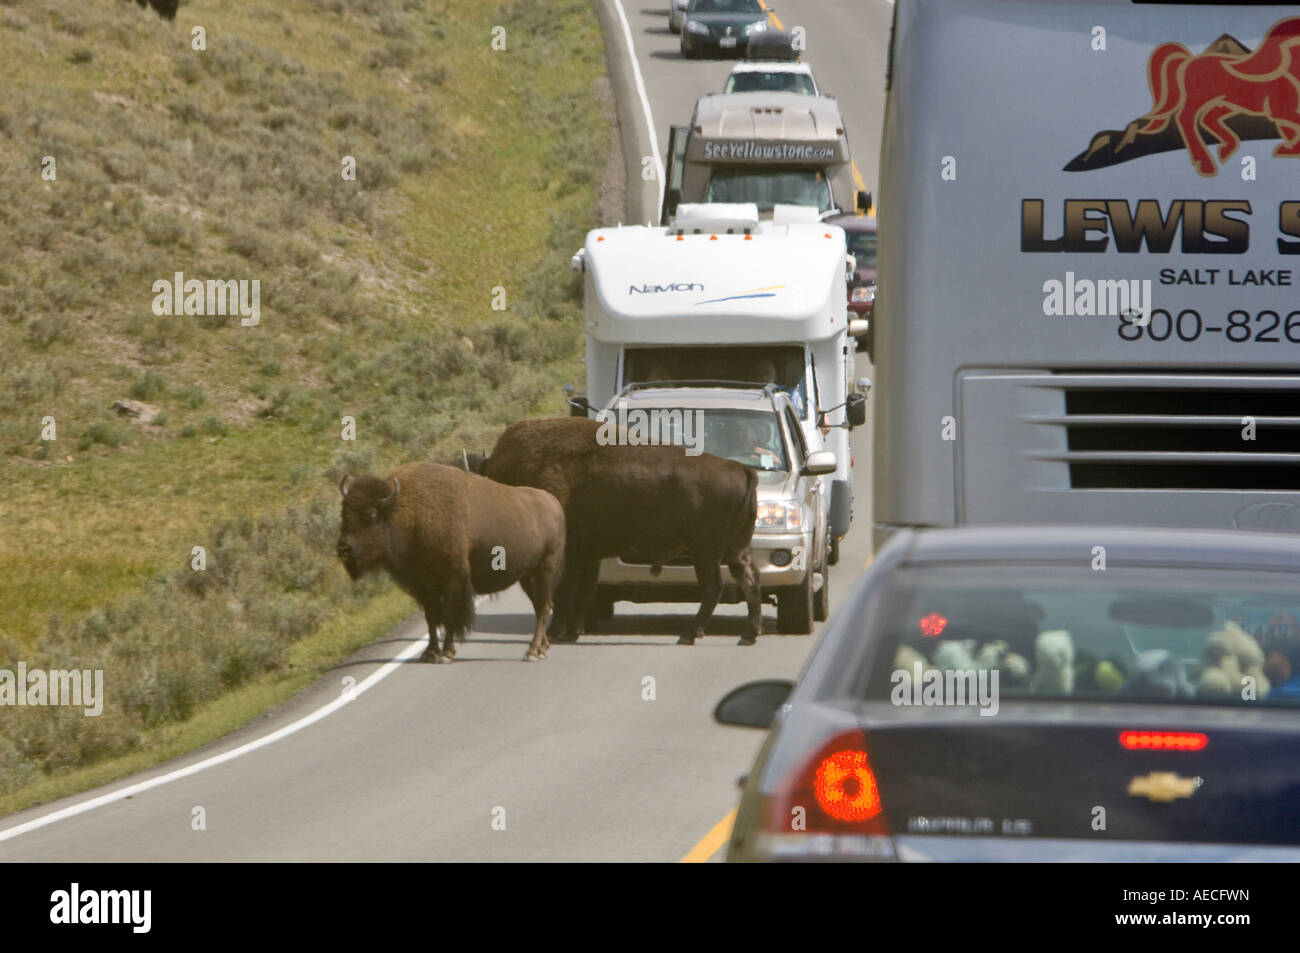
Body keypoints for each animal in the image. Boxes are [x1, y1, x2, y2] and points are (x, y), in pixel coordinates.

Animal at [337, 462, 565, 662]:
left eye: (371, 515)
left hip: (546, 569)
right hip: (528, 576)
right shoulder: (423, 587)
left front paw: (446, 654)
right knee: (542, 606)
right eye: (343, 513)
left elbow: (449, 616)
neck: (407, 511)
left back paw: (532, 652)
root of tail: (554, 503)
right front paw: (430, 653)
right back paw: (542, 648)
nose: (343, 549)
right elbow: (431, 618)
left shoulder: (453, 580)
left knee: (543, 608)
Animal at [458, 418, 761, 646]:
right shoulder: (588, 556)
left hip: (705, 551)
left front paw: (557, 634)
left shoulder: (569, 555)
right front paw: (572, 632)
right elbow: (582, 593)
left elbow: (564, 592)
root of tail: (741, 468)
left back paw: (688, 635)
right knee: (749, 581)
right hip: (735, 549)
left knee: (713, 587)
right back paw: (748, 636)